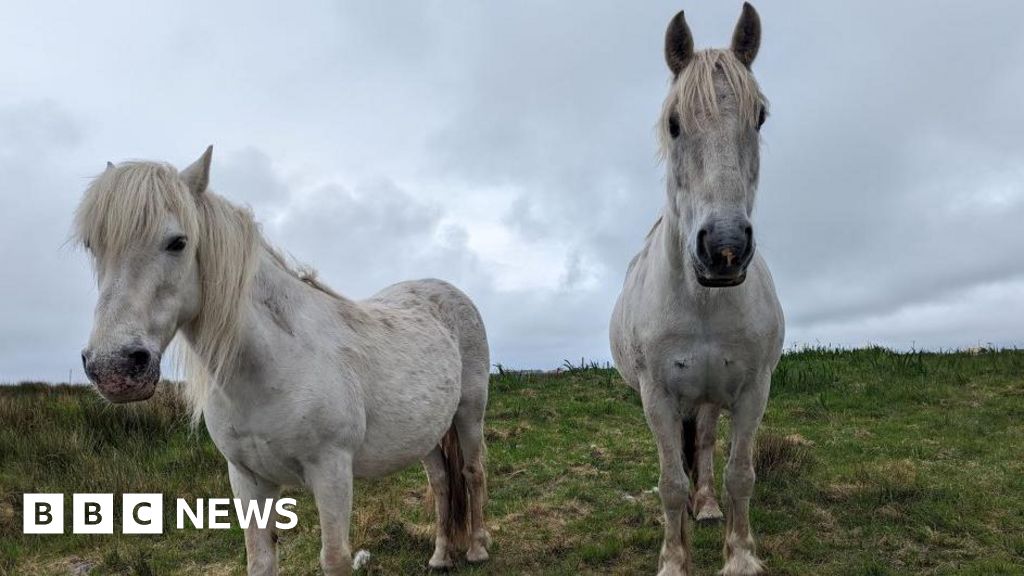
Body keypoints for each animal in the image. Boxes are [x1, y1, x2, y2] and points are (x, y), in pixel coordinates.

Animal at [74, 148, 493, 575]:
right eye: (93, 246)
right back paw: (440, 556)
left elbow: (335, 558)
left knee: (471, 472)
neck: (270, 368)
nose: (114, 368)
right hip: (426, 432)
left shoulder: (332, 472)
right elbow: (260, 560)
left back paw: (477, 549)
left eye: (178, 242)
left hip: (469, 413)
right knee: (441, 482)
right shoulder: (248, 478)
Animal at [609, 4, 783, 575]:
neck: (704, 301)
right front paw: (673, 560)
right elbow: (669, 483)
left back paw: (704, 505)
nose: (725, 248)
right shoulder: (658, 397)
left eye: (760, 116)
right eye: (674, 123)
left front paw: (740, 556)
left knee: (705, 444)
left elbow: (739, 475)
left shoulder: (753, 391)